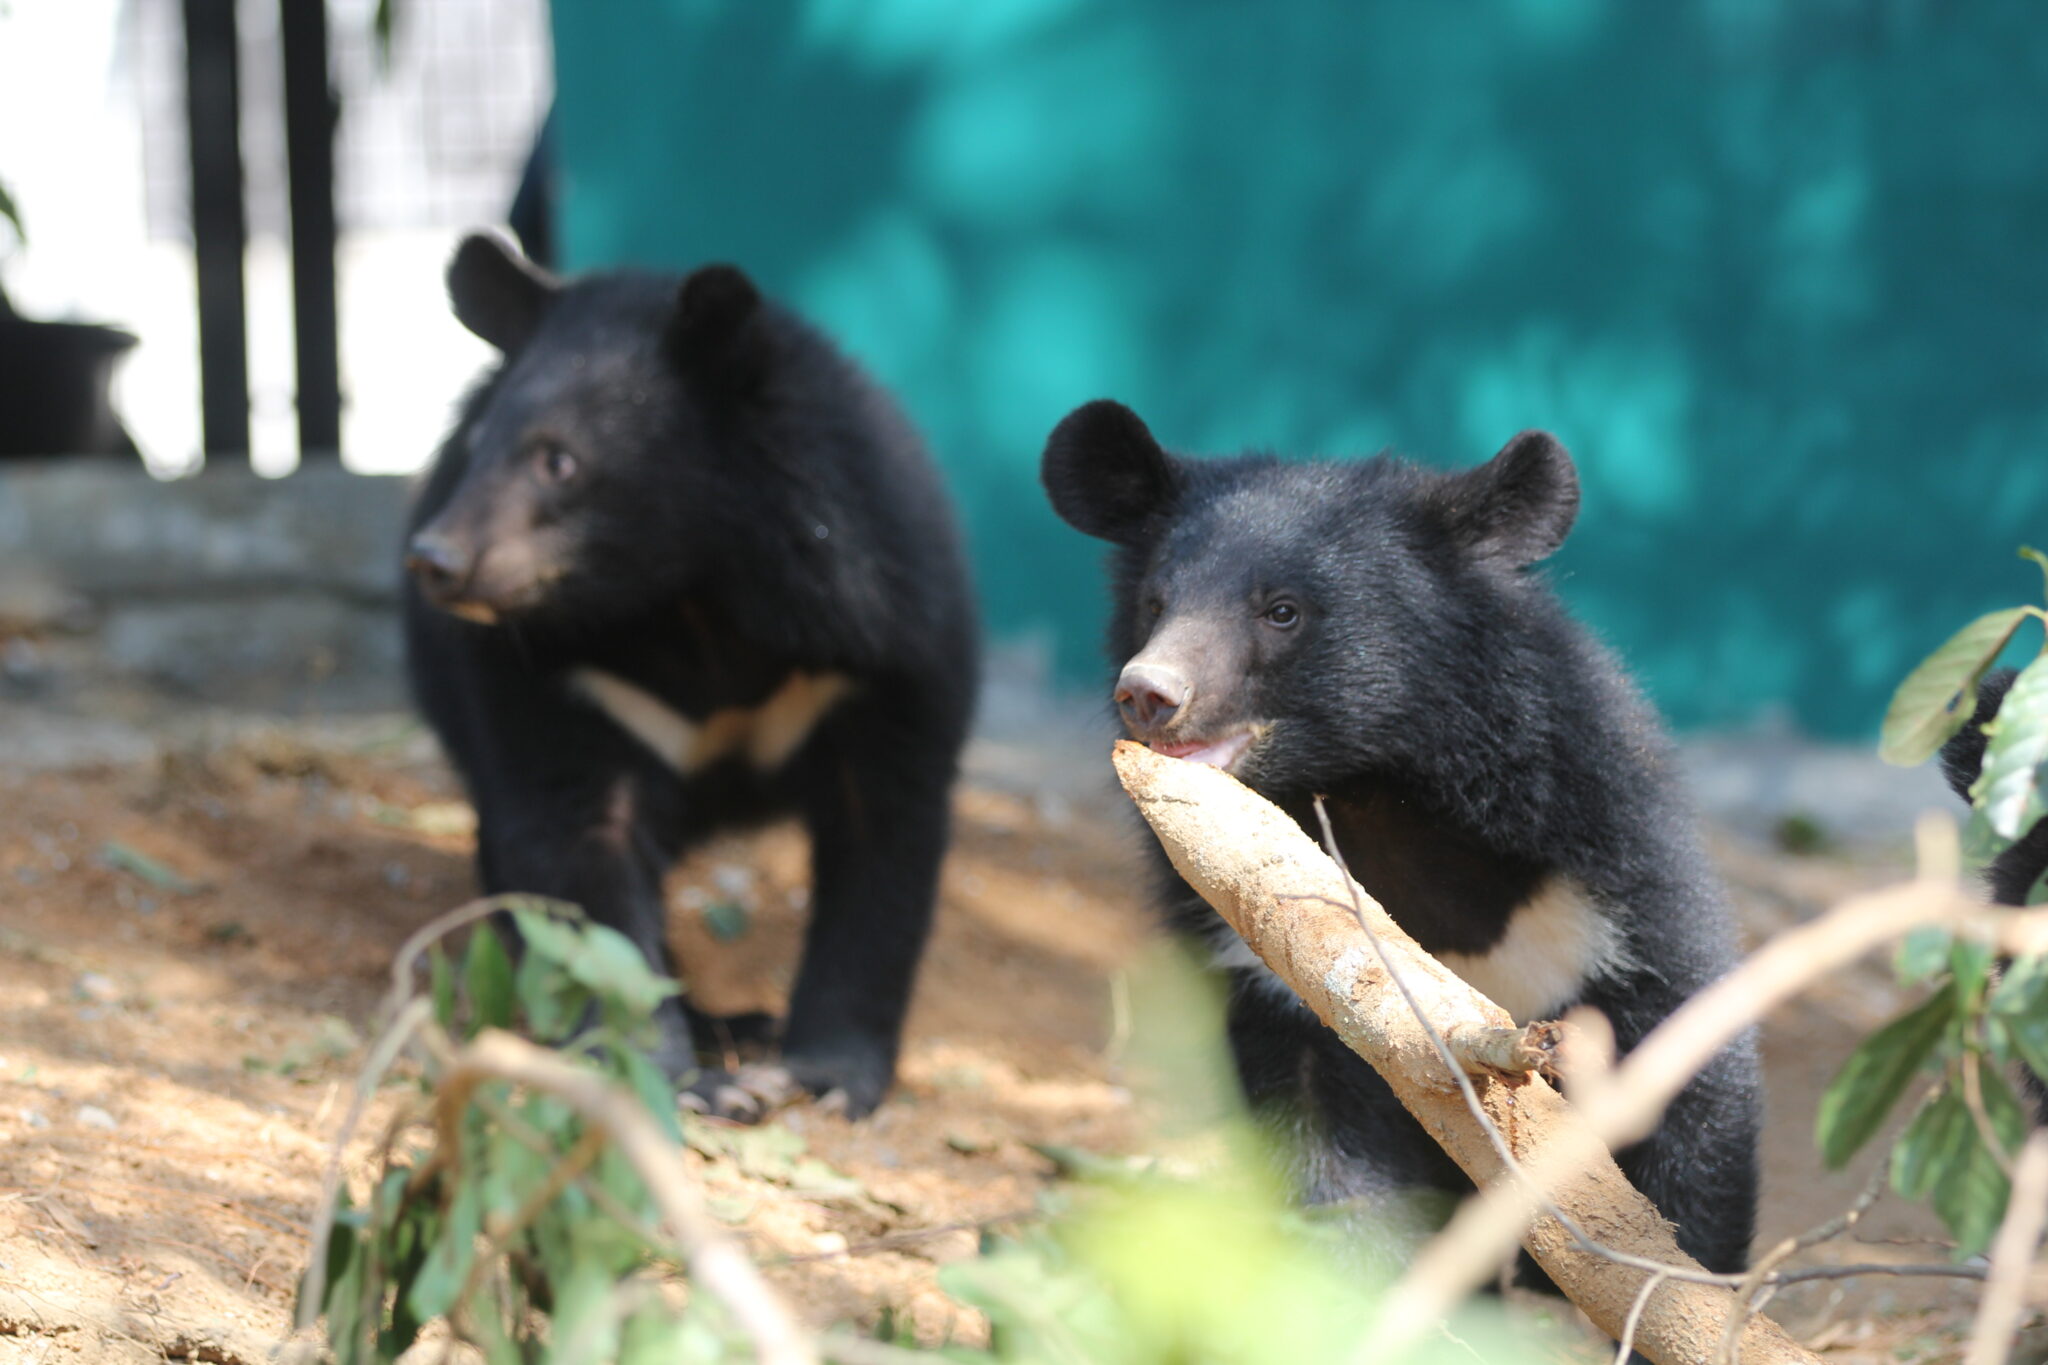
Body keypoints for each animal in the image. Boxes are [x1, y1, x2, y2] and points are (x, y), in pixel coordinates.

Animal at [403, 232, 978, 1120]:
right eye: (473, 449)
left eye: (559, 462)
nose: (437, 560)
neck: (691, 589)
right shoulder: (556, 673)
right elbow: (580, 846)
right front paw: (686, 1080)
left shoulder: (887, 636)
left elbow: (884, 834)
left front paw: (825, 1076)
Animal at [1041, 399, 1761, 1278]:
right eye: (1154, 602)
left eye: (1282, 610)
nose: (1148, 694)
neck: (1376, 793)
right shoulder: (1275, 975)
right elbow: (1326, 1142)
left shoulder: (1608, 860)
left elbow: (1685, 1085)